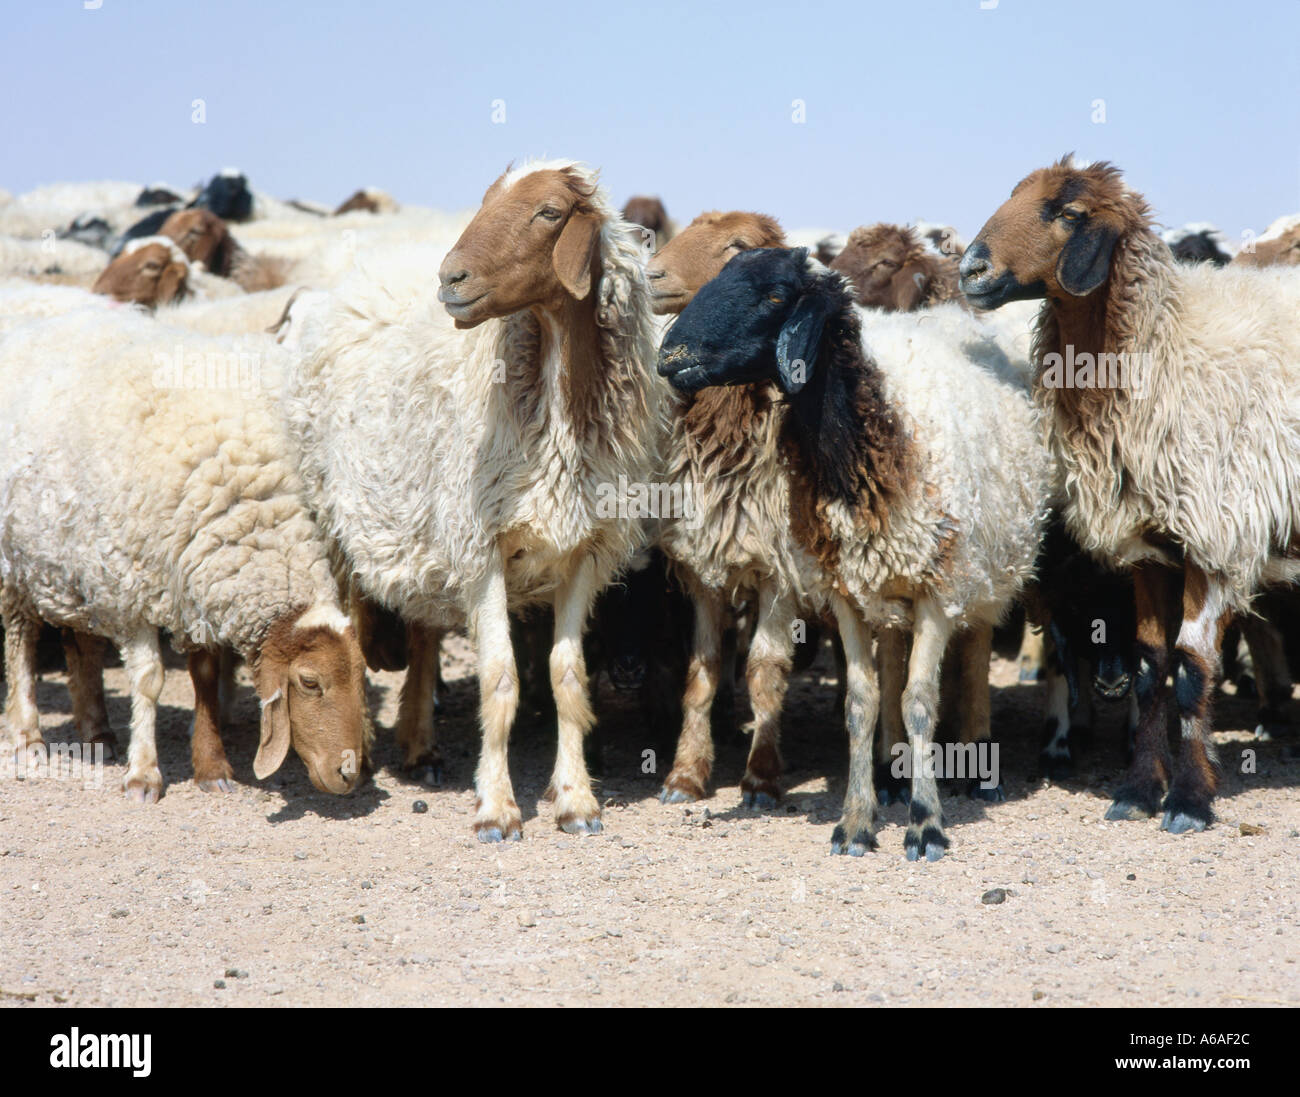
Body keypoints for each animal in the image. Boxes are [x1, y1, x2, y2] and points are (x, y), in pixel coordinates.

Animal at [0, 309, 369, 800]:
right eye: (310, 682)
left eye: (360, 674)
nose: (349, 774)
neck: (242, 498)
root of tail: (34, 328)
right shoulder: (132, 595)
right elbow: (149, 680)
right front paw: (144, 774)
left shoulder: (194, 583)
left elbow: (206, 676)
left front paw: (212, 767)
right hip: (19, 562)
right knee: (21, 638)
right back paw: (28, 735)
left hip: (76, 564)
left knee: (82, 644)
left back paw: (97, 731)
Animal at [282, 159, 661, 841]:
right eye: (486, 200)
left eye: (549, 212)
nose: (450, 278)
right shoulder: (484, 548)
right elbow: (500, 681)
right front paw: (497, 808)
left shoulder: (583, 550)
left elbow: (568, 679)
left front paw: (576, 800)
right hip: (333, 516)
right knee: (350, 631)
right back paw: (370, 748)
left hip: (417, 522)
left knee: (424, 634)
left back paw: (420, 746)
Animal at [658, 247, 1051, 859]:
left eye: (776, 295)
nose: (668, 355)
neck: (868, 435)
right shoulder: (843, 589)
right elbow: (860, 703)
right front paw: (856, 822)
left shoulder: (938, 587)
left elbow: (920, 702)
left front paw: (926, 824)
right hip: (887, 580)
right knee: (890, 655)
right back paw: (892, 774)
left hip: (983, 562)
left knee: (976, 648)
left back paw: (979, 768)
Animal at [959, 155, 1300, 833]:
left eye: (1067, 213)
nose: (969, 270)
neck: (1162, 347)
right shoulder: (1148, 546)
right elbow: (1149, 668)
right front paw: (1139, 791)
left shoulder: (1215, 538)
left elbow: (1191, 671)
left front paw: (1190, 800)